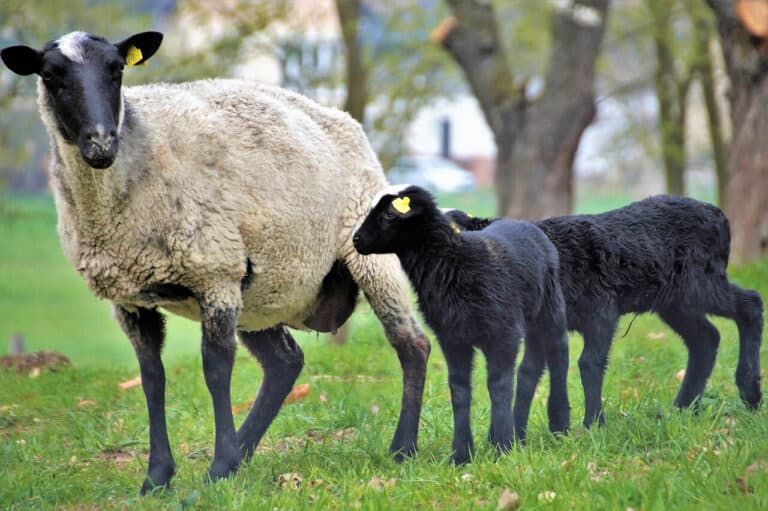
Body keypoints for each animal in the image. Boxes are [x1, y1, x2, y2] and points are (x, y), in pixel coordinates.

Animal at [1, 31, 431, 494]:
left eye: (117, 70)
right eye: (50, 76)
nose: (101, 144)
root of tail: (341, 117)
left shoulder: (215, 273)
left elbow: (216, 369)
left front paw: (220, 466)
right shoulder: (130, 299)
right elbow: (151, 378)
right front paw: (158, 478)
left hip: (365, 250)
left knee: (412, 344)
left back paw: (403, 449)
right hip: (263, 291)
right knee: (285, 363)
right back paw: (245, 450)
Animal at [353, 185, 570, 464]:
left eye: (390, 216)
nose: (356, 240)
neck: (452, 262)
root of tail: (522, 223)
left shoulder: (504, 333)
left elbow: (499, 386)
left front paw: (502, 448)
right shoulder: (452, 338)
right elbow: (459, 390)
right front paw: (461, 454)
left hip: (550, 309)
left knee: (558, 355)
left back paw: (560, 426)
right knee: (530, 367)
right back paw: (519, 433)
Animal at [444, 195, 764, 426]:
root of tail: (718, 215)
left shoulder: (602, 309)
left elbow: (588, 363)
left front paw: (593, 424)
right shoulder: (545, 325)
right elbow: (529, 372)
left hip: (700, 281)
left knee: (750, 304)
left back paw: (750, 393)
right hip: (672, 301)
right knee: (706, 338)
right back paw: (683, 408)